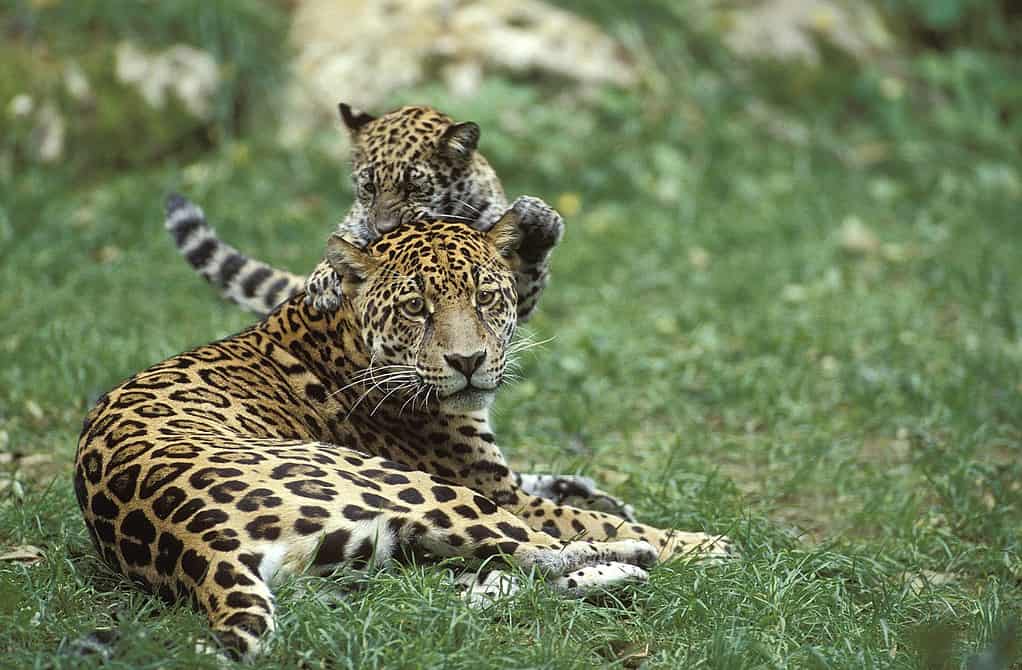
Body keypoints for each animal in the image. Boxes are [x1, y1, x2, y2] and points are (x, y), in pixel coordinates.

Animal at [76, 194, 731, 660]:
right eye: (417, 307)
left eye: (486, 297)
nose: (467, 361)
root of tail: (198, 548)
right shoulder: (493, 488)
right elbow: (574, 518)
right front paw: (694, 541)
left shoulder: (500, 478)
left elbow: (555, 488)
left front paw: (591, 487)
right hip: (413, 487)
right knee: (537, 551)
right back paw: (646, 555)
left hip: (356, 567)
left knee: (478, 583)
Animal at [167, 103, 560, 324]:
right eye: (368, 187)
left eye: (413, 187)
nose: (384, 226)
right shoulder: (356, 222)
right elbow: (342, 244)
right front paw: (324, 281)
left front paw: (539, 217)